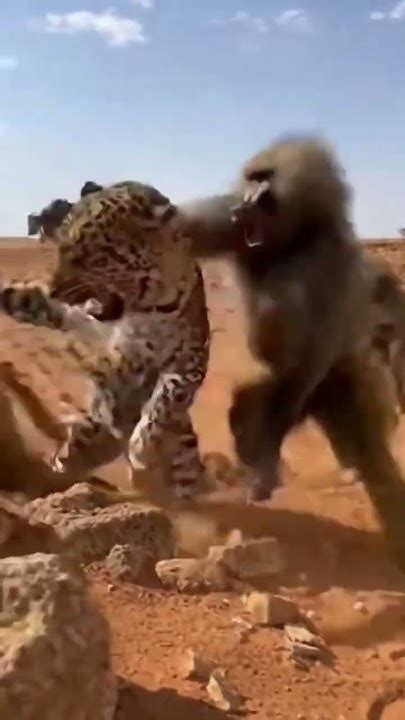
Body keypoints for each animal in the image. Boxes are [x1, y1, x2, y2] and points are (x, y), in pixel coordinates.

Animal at [1, 181, 210, 501]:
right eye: (61, 247)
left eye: (94, 255)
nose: (54, 288)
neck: (143, 308)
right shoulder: (84, 320)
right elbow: (51, 312)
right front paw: (17, 299)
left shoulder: (190, 360)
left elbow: (163, 403)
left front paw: (142, 450)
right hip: (82, 440)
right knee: (63, 461)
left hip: (185, 461)